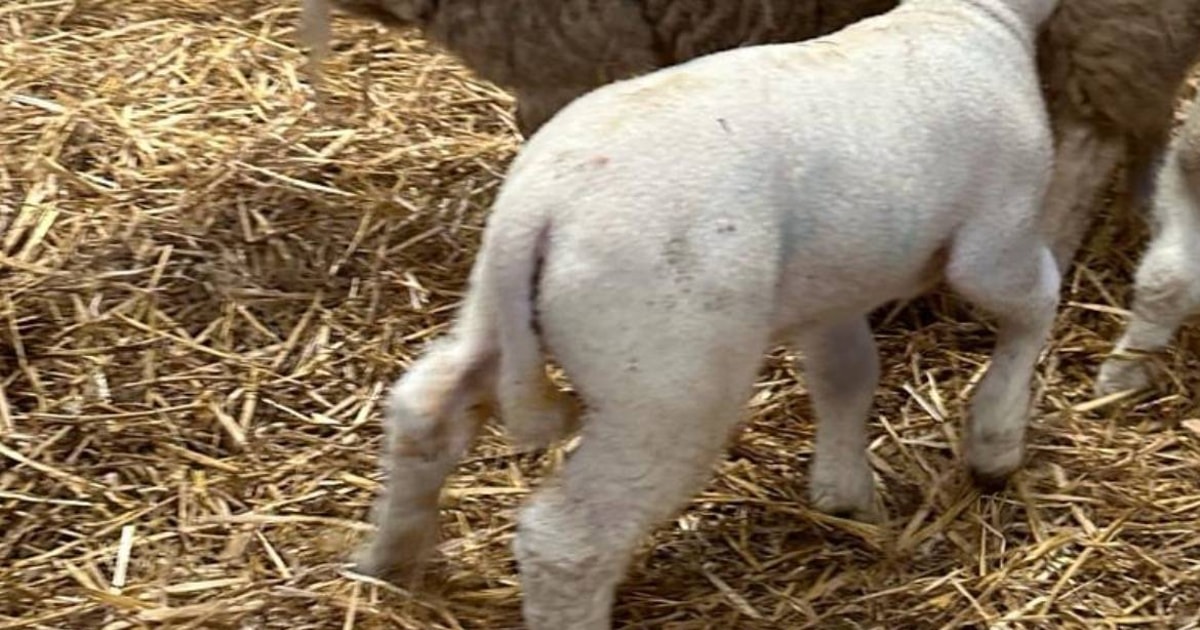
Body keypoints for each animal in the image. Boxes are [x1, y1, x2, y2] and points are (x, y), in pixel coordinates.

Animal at [352, 0, 1060, 626]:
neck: (971, 16)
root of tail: (541, 211)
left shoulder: (833, 288)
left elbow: (847, 374)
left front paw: (844, 492)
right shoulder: (999, 233)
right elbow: (1035, 302)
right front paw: (996, 440)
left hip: (496, 314)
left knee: (425, 411)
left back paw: (386, 563)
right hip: (669, 381)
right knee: (568, 539)